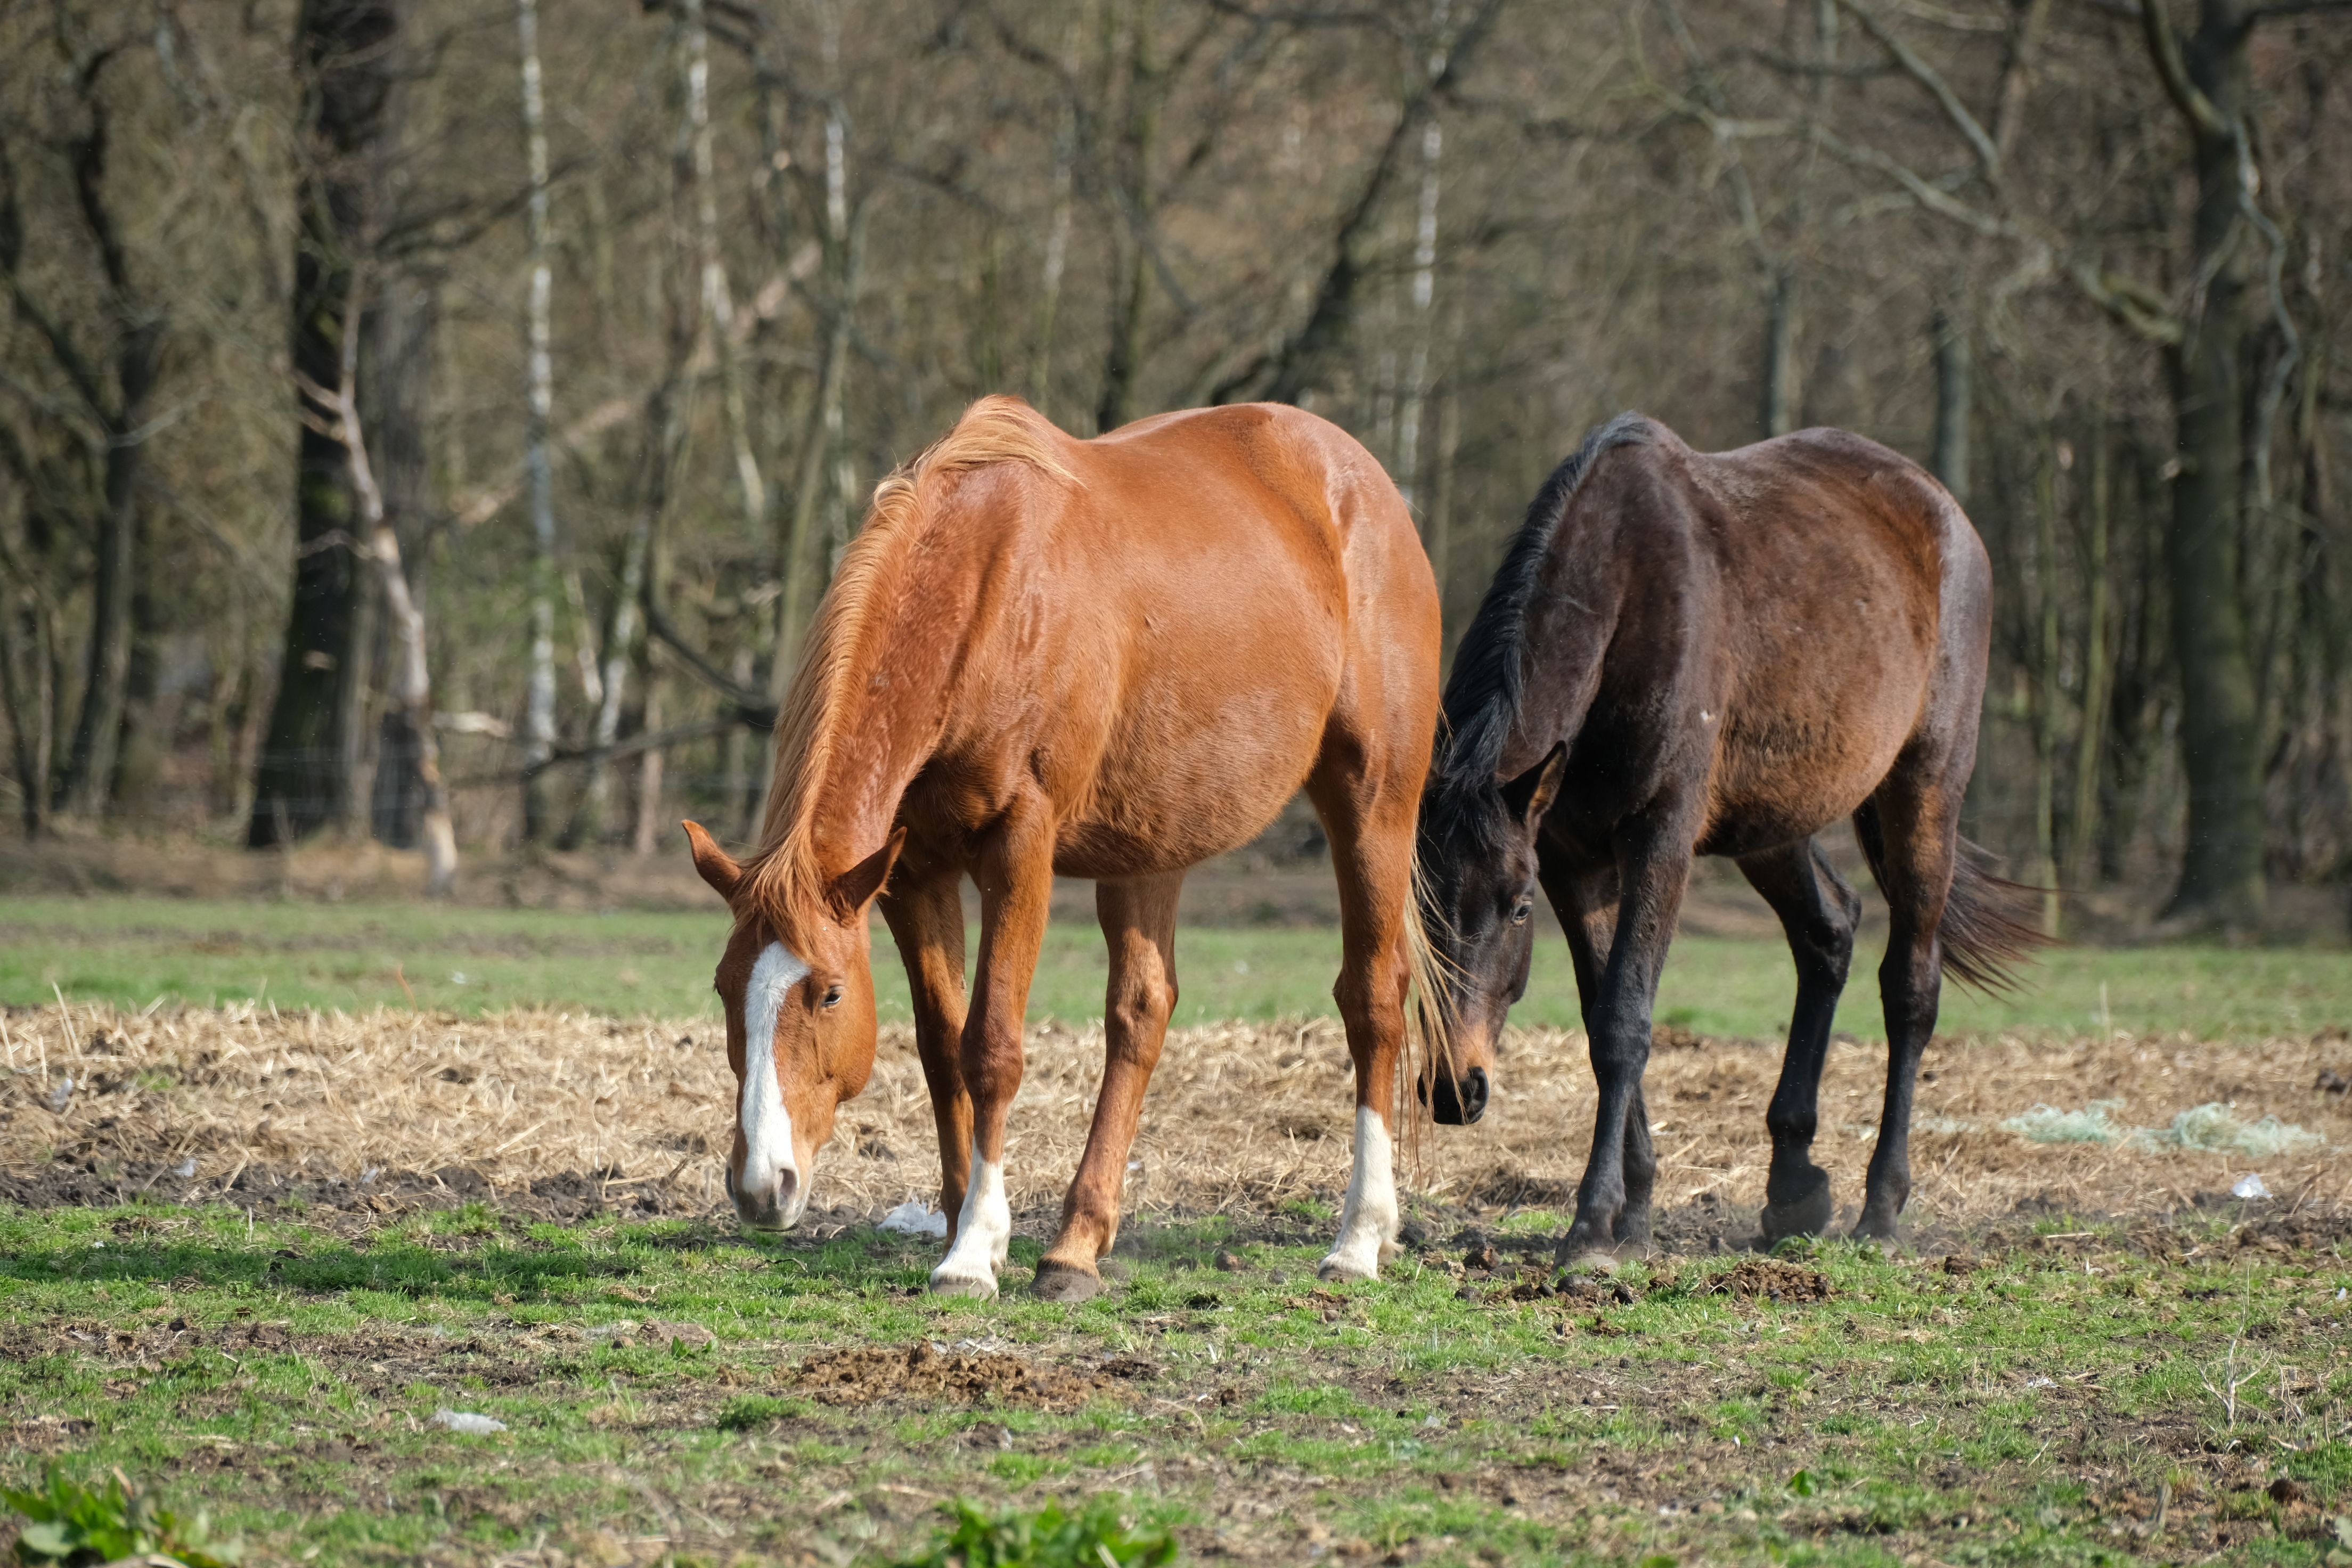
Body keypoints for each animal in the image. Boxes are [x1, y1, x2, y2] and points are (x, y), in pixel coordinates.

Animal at [683, 394, 1443, 1301]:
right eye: (725, 988)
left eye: (828, 994)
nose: (763, 1187)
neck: (985, 598)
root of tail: (1364, 485)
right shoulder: (913, 871)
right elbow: (942, 1049)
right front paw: (963, 1221)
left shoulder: (1021, 847)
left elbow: (991, 1046)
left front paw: (973, 1251)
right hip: (1151, 843)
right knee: (1142, 1014)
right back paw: (1078, 1243)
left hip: (1371, 803)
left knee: (1373, 1001)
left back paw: (1360, 1237)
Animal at [1414, 412, 2042, 1264]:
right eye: (1421, 909)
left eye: (1515, 910)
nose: (1456, 1088)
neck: (1622, 598)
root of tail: (1943, 511)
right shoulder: (1574, 865)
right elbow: (1600, 1016)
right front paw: (1636, 1210)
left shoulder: (1659, 841)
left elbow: (1623, 1021)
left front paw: (1593, 1225)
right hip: (1773, 823)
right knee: (1828, 932)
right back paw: (1793, 1185)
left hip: (1924, 793)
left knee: (1910, 988)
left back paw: (1881, 1210)